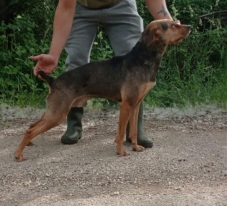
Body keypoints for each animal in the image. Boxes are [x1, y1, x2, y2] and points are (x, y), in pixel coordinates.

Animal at [14, 19, 190, 161]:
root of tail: (54, 80)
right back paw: (18, 154)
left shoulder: (135, 105)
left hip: (54, 111)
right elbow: (120, 133)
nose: (189, 27)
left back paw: (28, 144)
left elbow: (132, 131)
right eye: (172, 25)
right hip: (58, 114)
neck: (142, 58)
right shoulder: (126, 106)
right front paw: (121, 151)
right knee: (30, 130)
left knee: (31, 126)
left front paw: (135, 147)